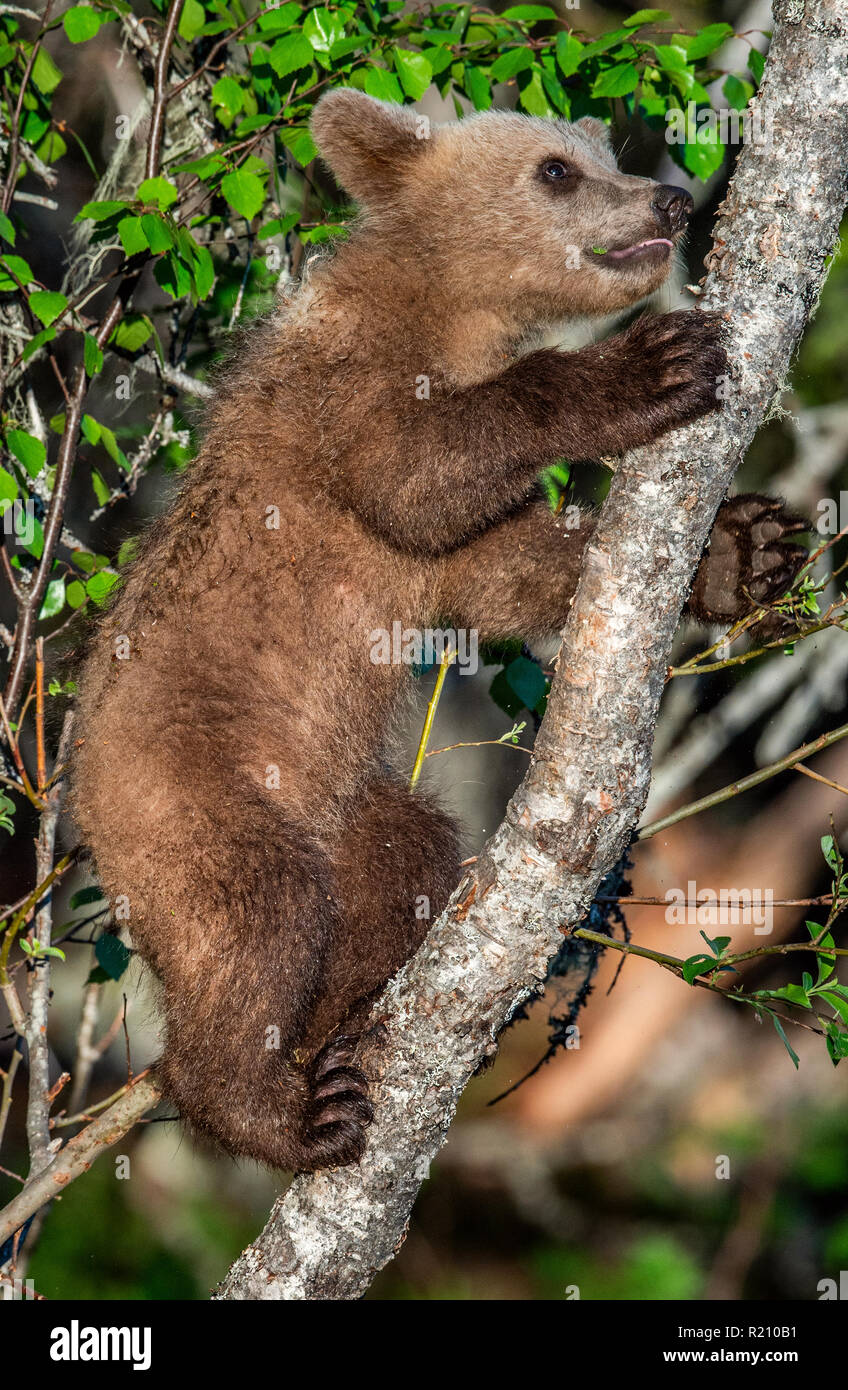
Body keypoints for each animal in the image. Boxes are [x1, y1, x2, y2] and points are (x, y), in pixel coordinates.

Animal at [71, 92, 808, 1172]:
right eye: (554, 170)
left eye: (601, 150)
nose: (670, 202)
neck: (450, 310)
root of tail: (83, 823)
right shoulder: (343, 386)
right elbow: (417, 465)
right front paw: (647, 365)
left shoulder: (444, 547)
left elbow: (510, 564)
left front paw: (745, 546)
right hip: (185, 793)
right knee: (258, 913)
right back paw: (276, 1109)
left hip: (339, 797)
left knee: (404, 859)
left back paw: (333, 1032)